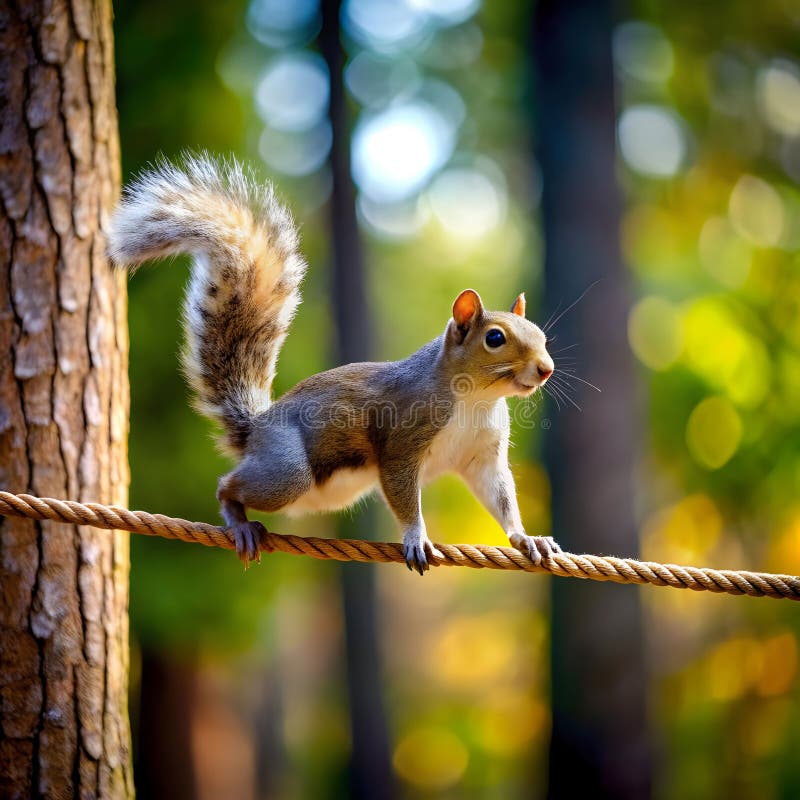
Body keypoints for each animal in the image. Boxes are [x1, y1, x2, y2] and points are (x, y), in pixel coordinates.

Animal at [108, 155, 561, 575]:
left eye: (540, 334)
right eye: (495, 339)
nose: (546, 369)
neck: (476, 399)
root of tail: (254, 430)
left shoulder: (482, 454)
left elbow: (500, 495)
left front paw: (526, 538)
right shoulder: (401, 439)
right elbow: (402, 494)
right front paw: (416, 536)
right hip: (285, 469)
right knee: (227, 486)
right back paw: (238, 521)